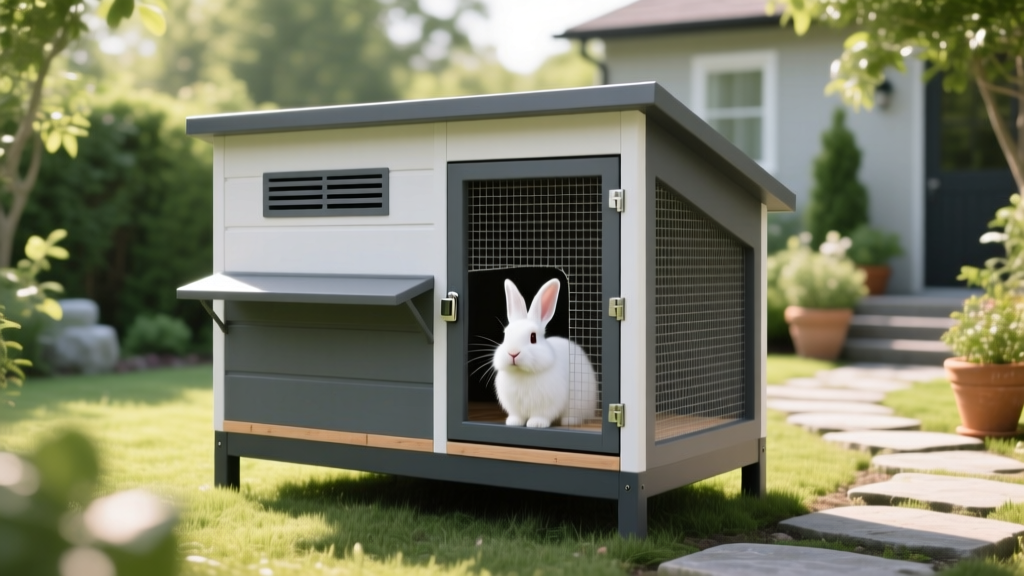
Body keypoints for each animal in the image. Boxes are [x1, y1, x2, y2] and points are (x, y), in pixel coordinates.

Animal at [493, 278, 598, 428]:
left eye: (533, 337)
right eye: (505, 335)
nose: (513, 353)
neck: (523, 373)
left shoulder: (548, 404)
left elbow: (541, 415)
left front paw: (536, 424)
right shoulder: (515, 407)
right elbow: (517, 415)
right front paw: (513, 422)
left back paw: (569, 421)